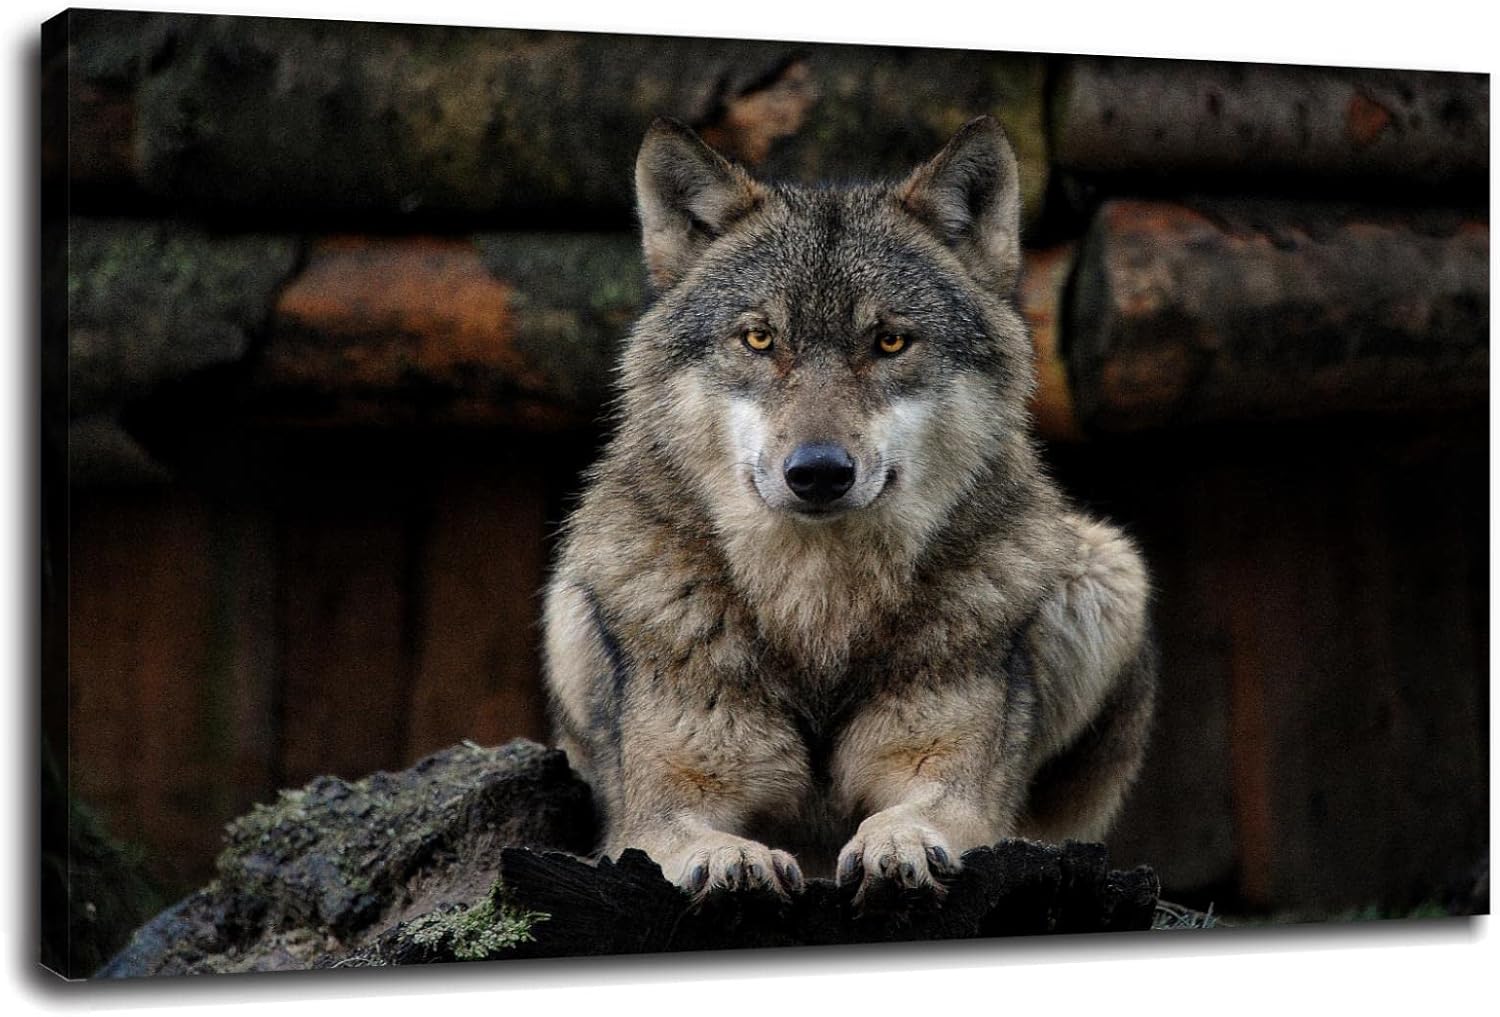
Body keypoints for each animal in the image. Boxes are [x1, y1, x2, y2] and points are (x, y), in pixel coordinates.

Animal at [542, 115, 1155, 901]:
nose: (819, 473)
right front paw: (733, 861)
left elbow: (919, 813)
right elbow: (692, 837)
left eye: (889, 341)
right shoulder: (652, 816)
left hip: (1111, 565)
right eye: (760, 338)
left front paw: (899, 844)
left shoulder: (959, 789)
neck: (818, 608)